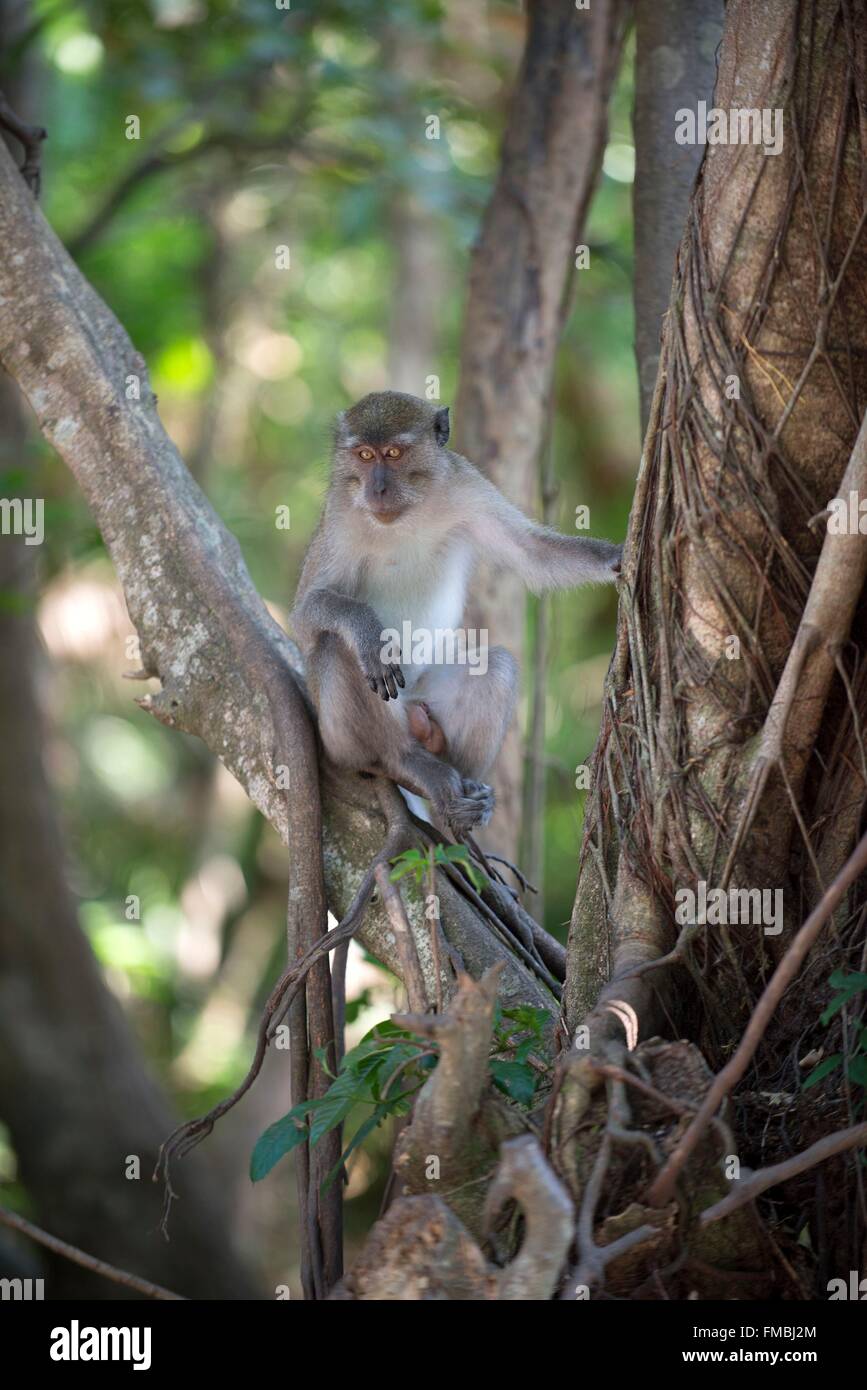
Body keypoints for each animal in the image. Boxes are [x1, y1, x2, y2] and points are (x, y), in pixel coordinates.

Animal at [292, 392, 621, 838]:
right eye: (364, 455)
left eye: (393, 454)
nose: (377, 488)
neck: (409, 511)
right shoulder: (340, 514)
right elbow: (305, 616)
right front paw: (366, 631)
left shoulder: (466, 487)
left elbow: (531, 552)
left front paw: (616, 558)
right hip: (340, 740)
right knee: (337, 647)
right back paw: (403, 761)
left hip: (427, 702)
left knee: (497, 666)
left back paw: (463, 788)